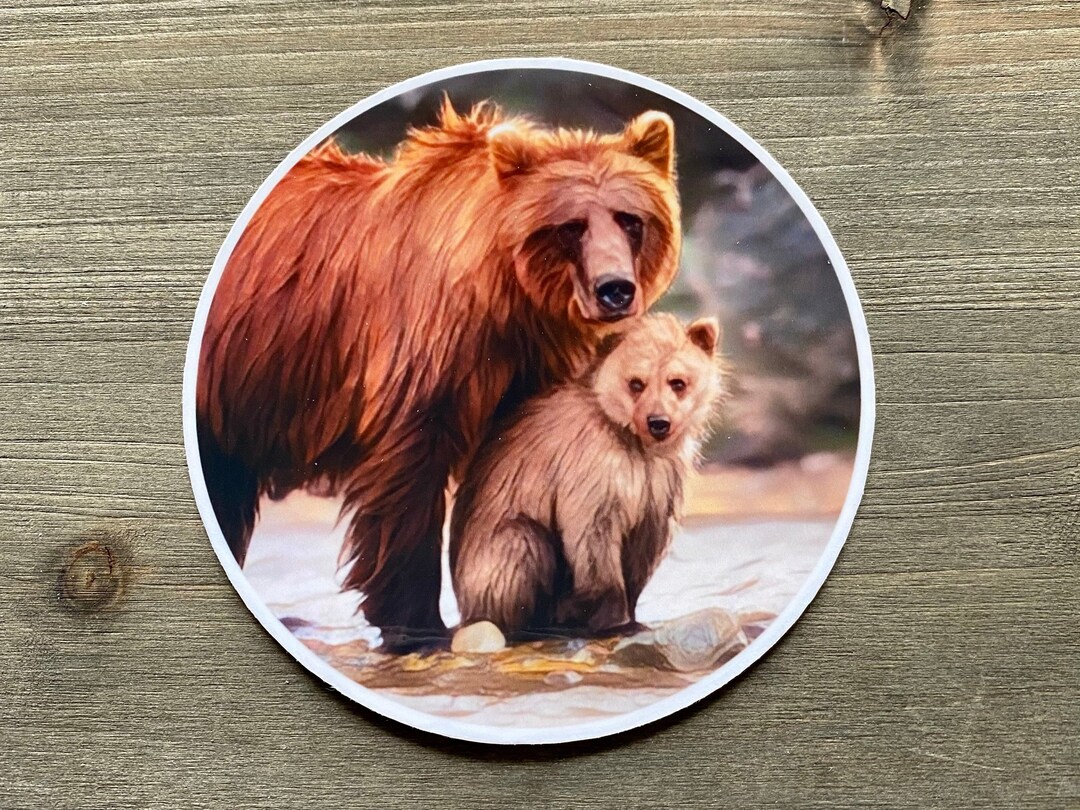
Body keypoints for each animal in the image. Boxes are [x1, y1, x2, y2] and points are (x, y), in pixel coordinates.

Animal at [196, 99, 682, 650]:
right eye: (572, 226)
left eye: (630, 219)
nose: (614, 289)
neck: (505, 300)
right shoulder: (424, 350)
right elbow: (408, 476)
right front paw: (420, 625)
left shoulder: (526, 366)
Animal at [450, 312, 724, 639]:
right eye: (636, 383)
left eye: (677, 382)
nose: (658, 422)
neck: (635, 444)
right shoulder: (592, 465)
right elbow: (593, 536)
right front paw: (612, 618)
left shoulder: (660, 480)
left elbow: (644, 547)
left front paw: (634, 614)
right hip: (489, 554)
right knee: (523, 543)